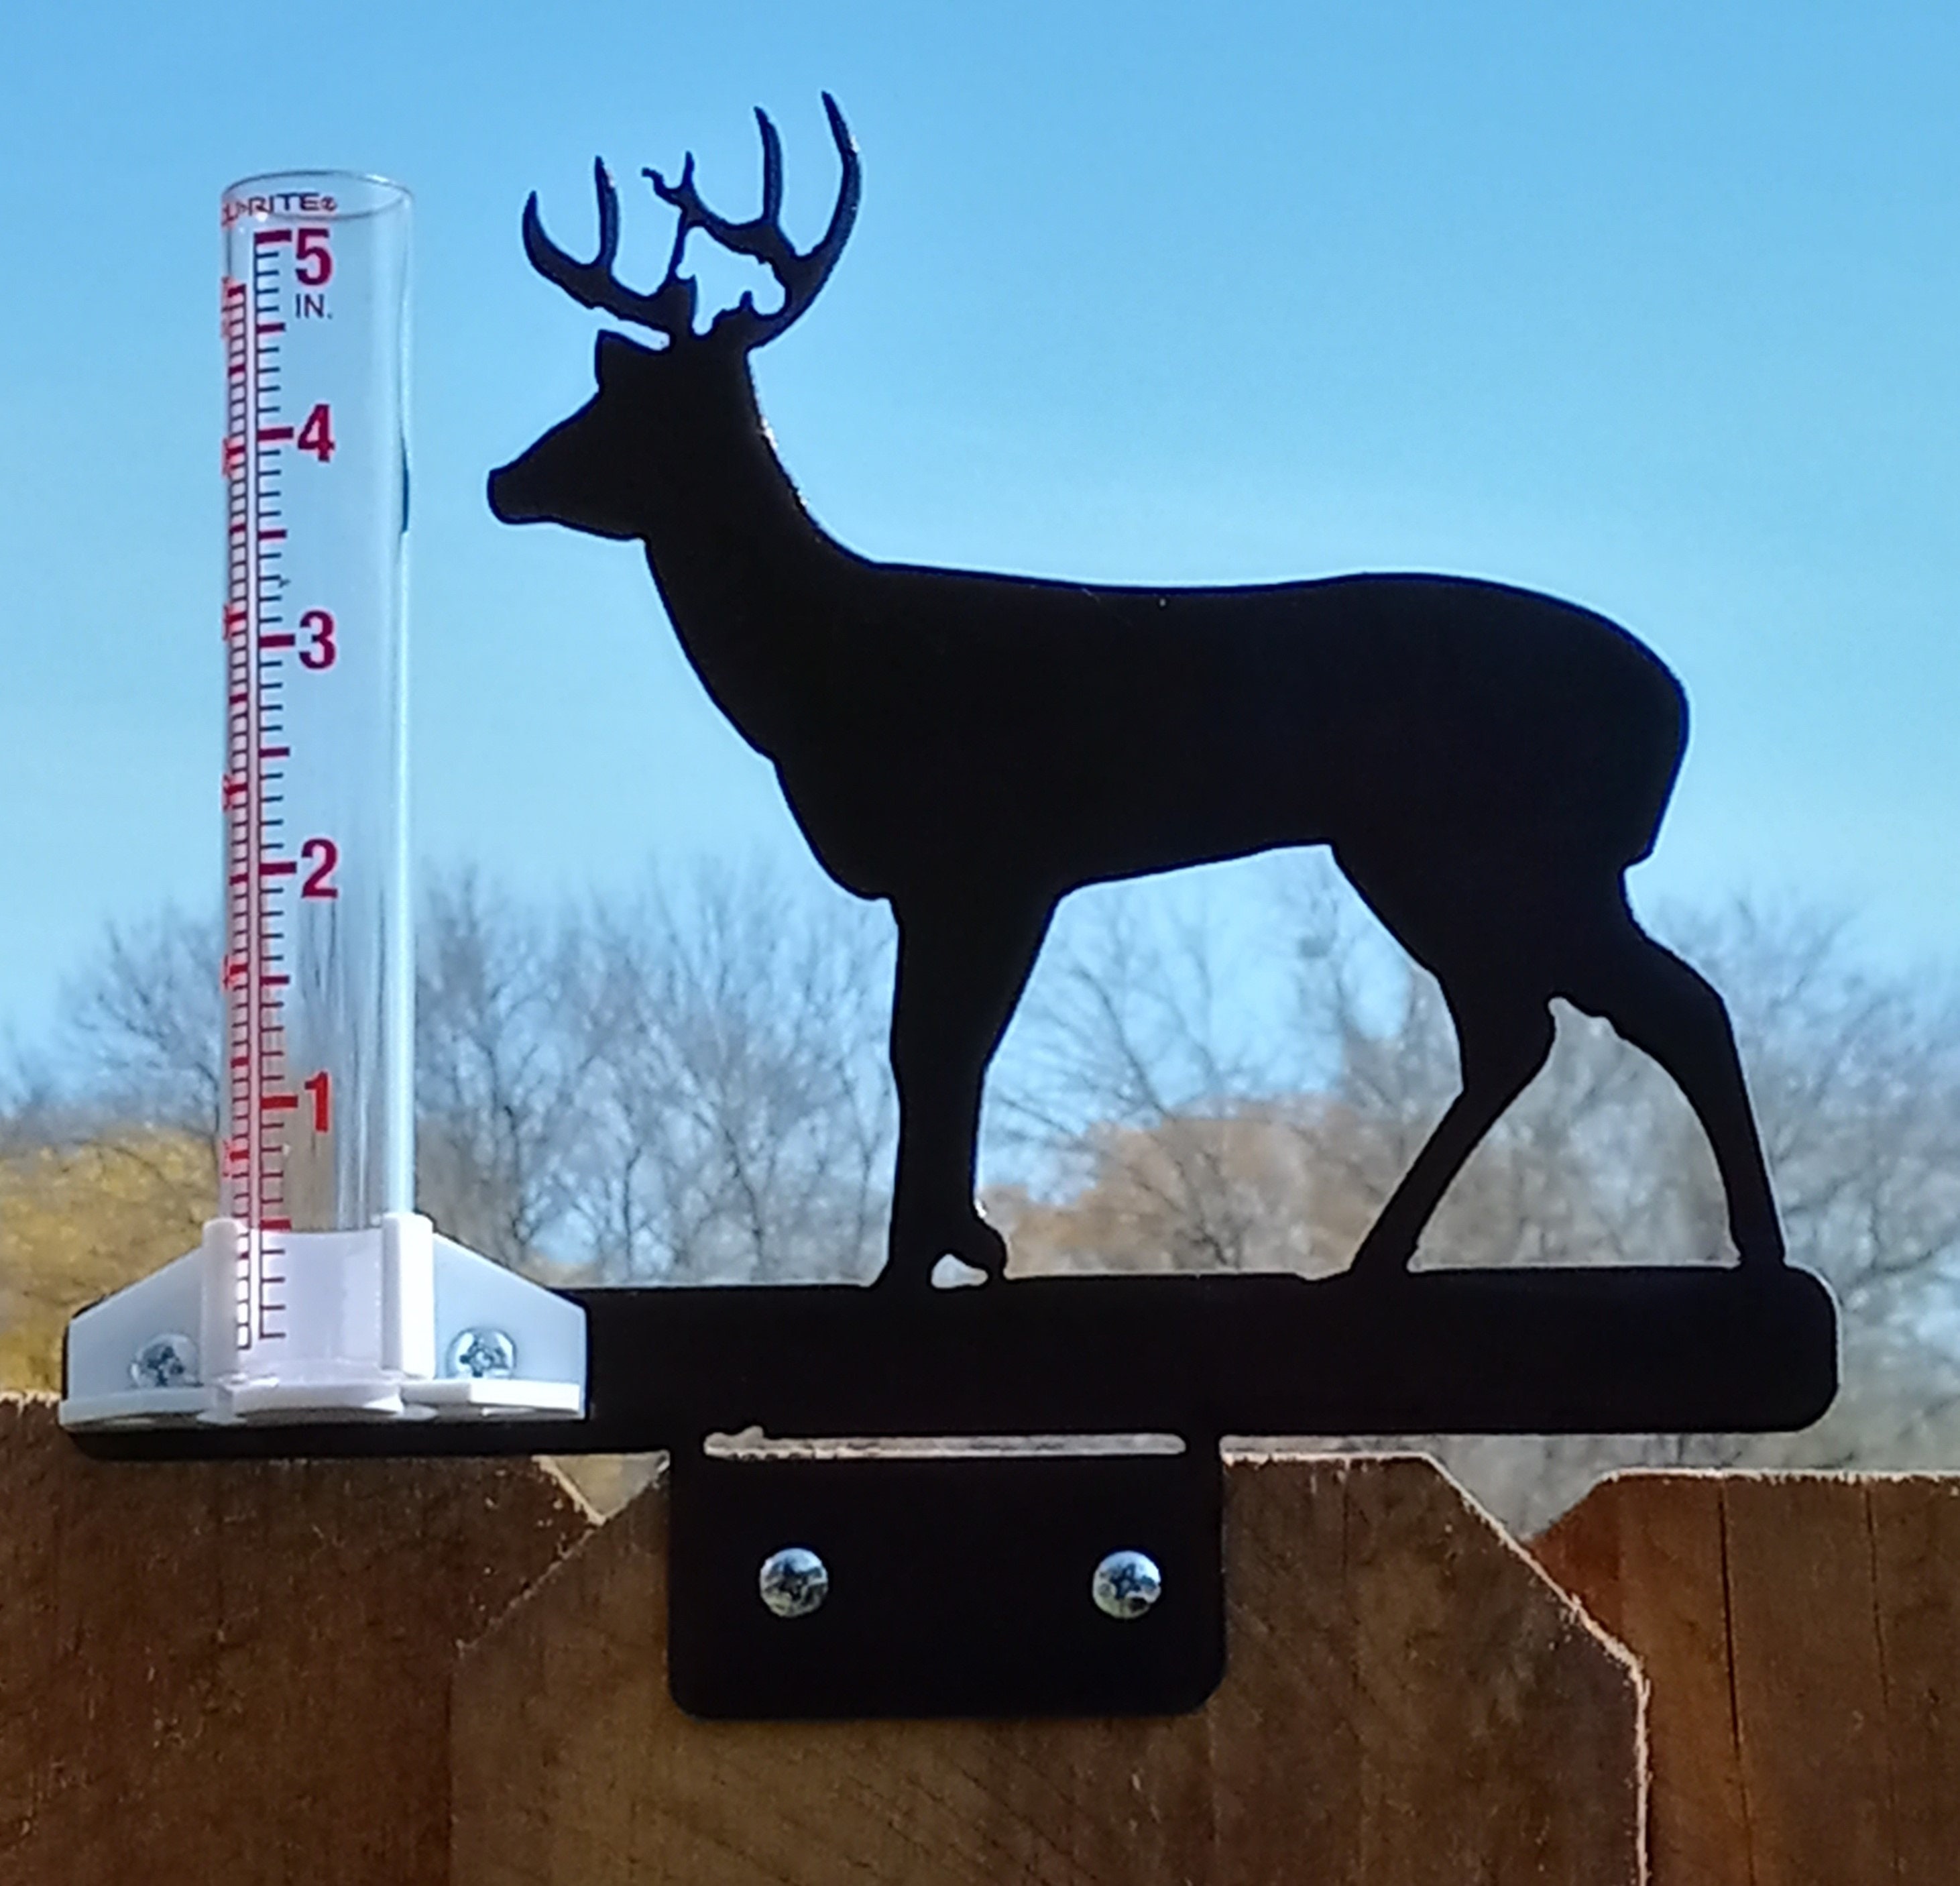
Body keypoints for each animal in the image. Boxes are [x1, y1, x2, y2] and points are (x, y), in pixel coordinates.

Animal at [488, 96, 1786, 1296]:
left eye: (618, 407)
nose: (505, 477)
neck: (830, 669)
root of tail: (1669, 709)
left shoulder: (988, 860)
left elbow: (935, 1053)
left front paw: (930, 1256)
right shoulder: (965, 880)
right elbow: (937, 1052)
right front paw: (951, 1245)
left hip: (1484, 846)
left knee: (1650, 1008)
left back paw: (1752, 1255)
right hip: (1454, 856)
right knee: (1529, 1027)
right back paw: (1385, 1258)